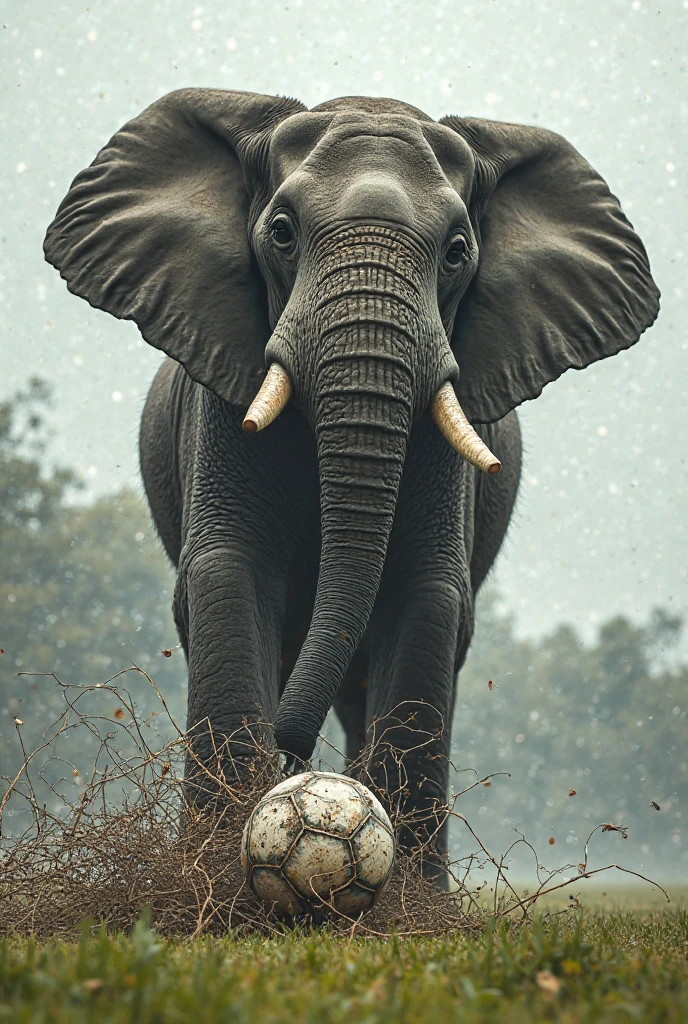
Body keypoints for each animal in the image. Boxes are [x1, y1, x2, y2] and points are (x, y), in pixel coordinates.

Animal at [44, 89, 659, 886]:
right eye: (281, 233)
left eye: (457, 251)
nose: (289, 758)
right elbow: (229, 571)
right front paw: (217, 889)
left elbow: (428, 597)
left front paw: (412, 906)